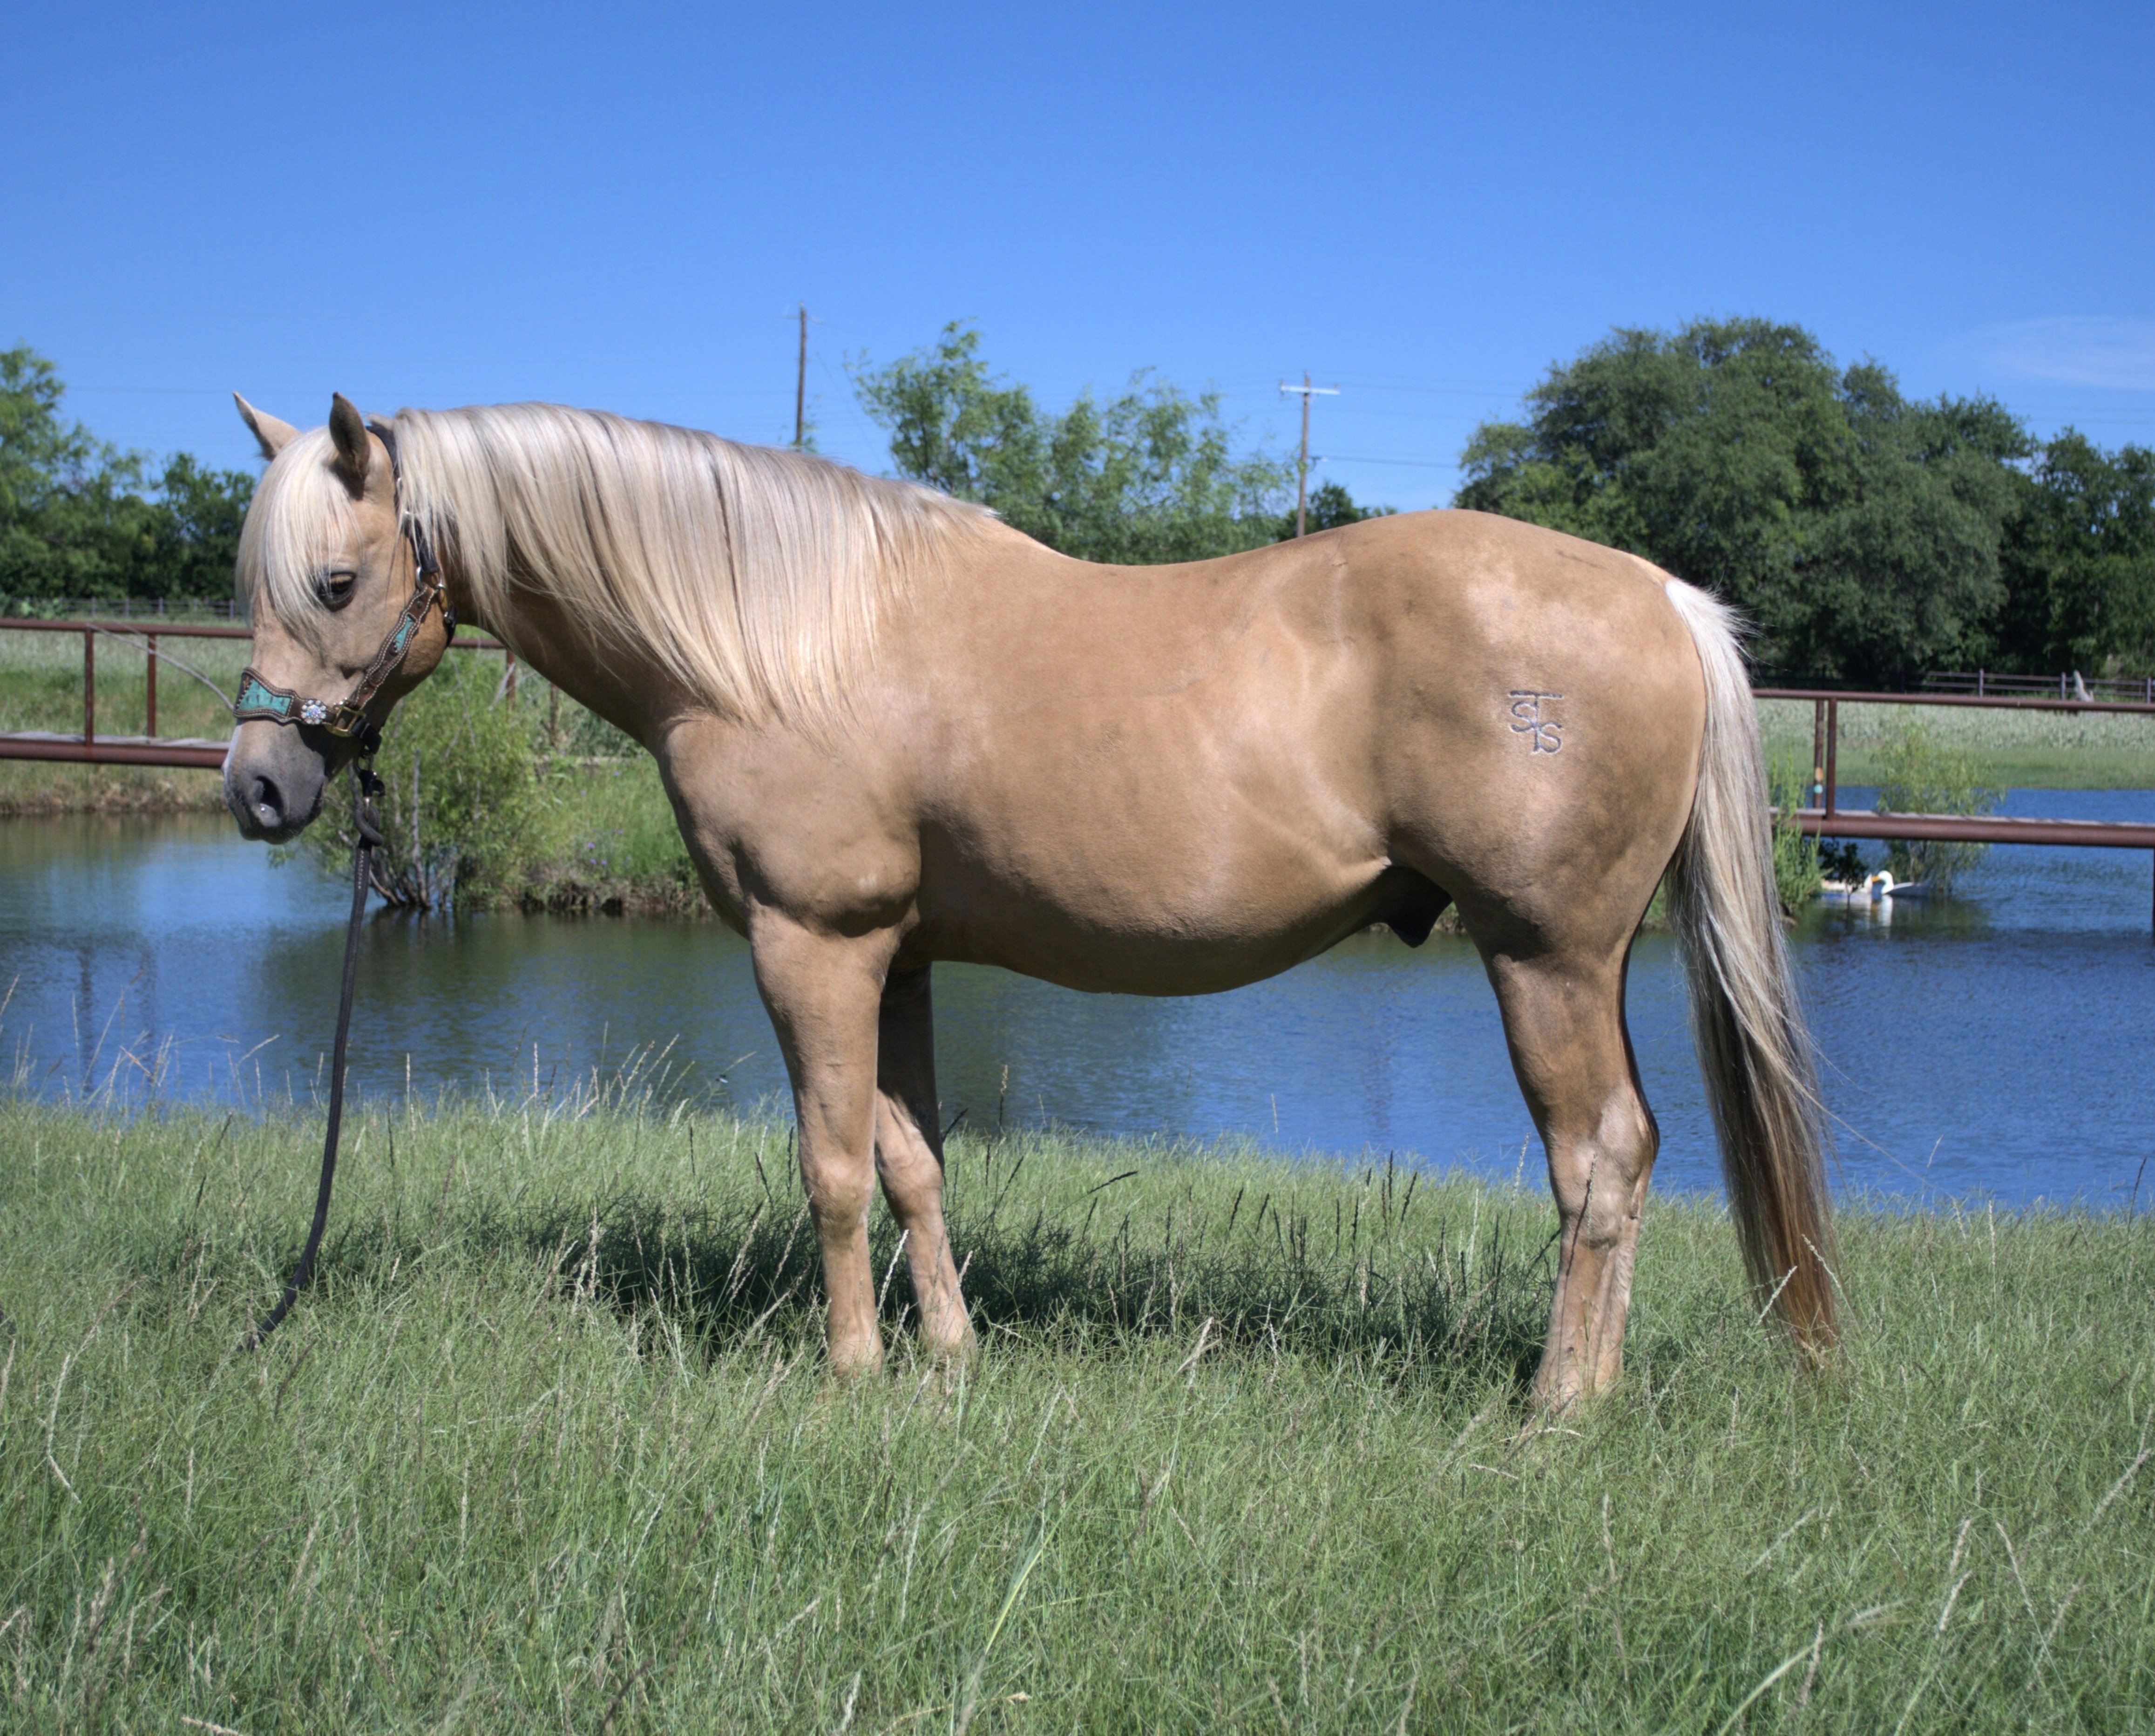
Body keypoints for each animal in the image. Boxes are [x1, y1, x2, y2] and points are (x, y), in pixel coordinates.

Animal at [222, 391, 1835, 1408]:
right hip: (1581, 963)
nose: (256, 787)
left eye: (336, 578)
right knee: (1631, 1155)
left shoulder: (811, 949)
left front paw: (853, 1374)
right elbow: (914, 1162)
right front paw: (948, 1361)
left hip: (1544, 957)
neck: (778, 643)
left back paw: (1555, 1406)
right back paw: (1589, 1390)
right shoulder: (902, 959)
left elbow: (828, 1168)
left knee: (1596, 1164)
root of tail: (1660, 598)